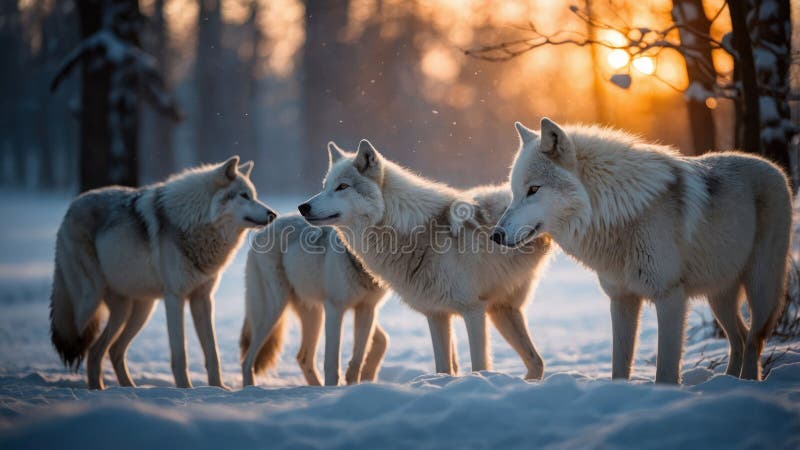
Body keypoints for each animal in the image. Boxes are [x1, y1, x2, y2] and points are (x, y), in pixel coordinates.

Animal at [50, 157, 276, 389]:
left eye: (254, 196)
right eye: (244, 195)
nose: (273, 214)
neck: (195, 221)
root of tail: (71, 206)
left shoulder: (203, 299)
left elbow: (213, 353)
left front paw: (218, 388)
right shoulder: (175, 297)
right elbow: (180, 354)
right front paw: (186, 389)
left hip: (137, 310)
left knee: (106, 351)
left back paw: (125, 389)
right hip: (91, 301)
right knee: (93, 347)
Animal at [239, 215, 389, 386]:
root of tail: (264, 229)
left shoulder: (367, 308)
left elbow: (360, 359)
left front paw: (359, 384)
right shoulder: (334, 308)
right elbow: (332, 363)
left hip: (314, 316)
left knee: (303, 358)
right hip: (273, 313)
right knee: (246, 361)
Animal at [298, 140, 552, 382]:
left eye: (342, 186)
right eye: (324, 186)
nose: (302, 207)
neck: (417, 233)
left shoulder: (473, 310)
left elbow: (478, 365)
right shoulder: (436, 314)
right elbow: (444, 368)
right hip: (503, 312)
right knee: (537, 361)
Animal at [494, 118, 792, 383]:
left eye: (534, 189)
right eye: (514, 192)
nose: (496, 235)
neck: (618, 213)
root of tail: (773, 167)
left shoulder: (670, 296)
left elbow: (666, 372)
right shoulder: (621, 299)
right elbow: (619, 366)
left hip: (761, 286)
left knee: (753, 340)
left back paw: (747, 382)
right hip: (719, 295)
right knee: (739, 338)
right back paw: (727, 382)